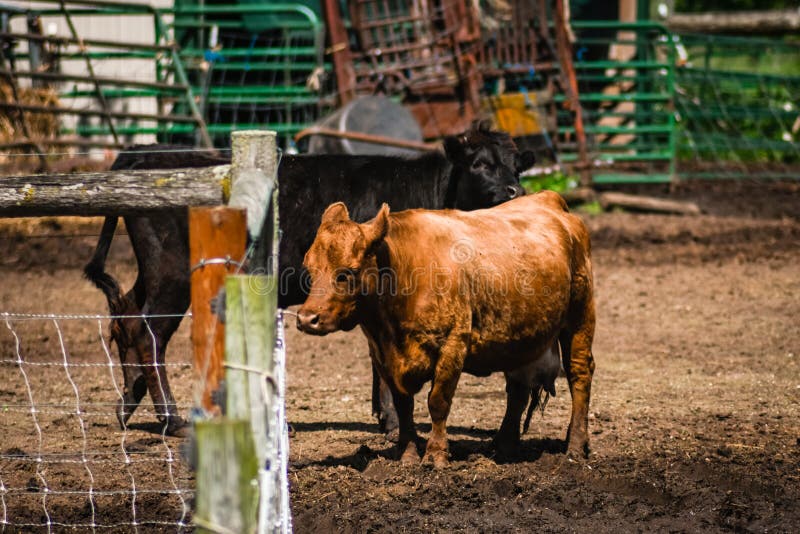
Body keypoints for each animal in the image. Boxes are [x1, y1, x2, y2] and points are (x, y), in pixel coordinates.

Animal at [85, 121, 534, 437]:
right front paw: (392, 419)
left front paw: (383, 415)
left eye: (515, 166)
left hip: (154, 272)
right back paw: (171, 417)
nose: (515, 191)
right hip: (174, 274)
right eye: (480, 164)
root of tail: (141, 154)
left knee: (126, 318)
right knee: (148, 333)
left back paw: (129, 401)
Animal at [296, 191, 595, 467]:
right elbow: (403, 405)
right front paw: (407, 455)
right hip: (521, 337)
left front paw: (436, 455)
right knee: (518, 388)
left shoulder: (453, 345)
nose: (307, 318)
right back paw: (505, 446)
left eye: (347, 272)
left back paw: (575, 446)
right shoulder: (382, 356)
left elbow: (438, 402)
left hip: (580, 317)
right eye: (309, 269)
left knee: (579, 374)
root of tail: (550, 201)